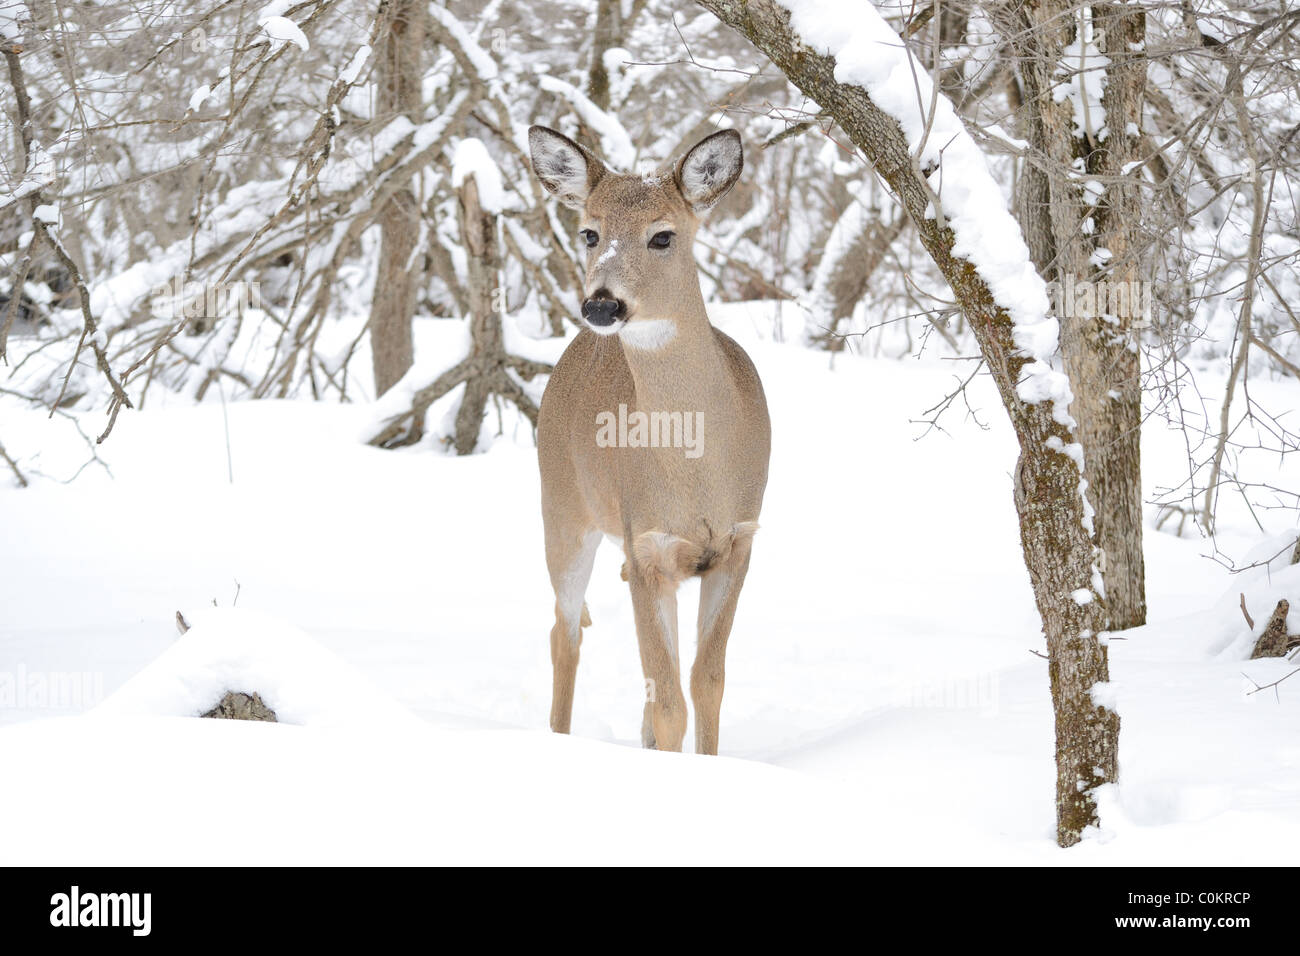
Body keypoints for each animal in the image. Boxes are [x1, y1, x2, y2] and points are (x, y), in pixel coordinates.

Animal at [527, 124, 771, 755]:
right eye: (589, 232)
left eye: (663, 236)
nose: (601, 303)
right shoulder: (647, 548)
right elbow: (669, 703)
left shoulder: (738, 541)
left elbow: (706, 682)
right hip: (563, 508)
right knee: (564, 632)